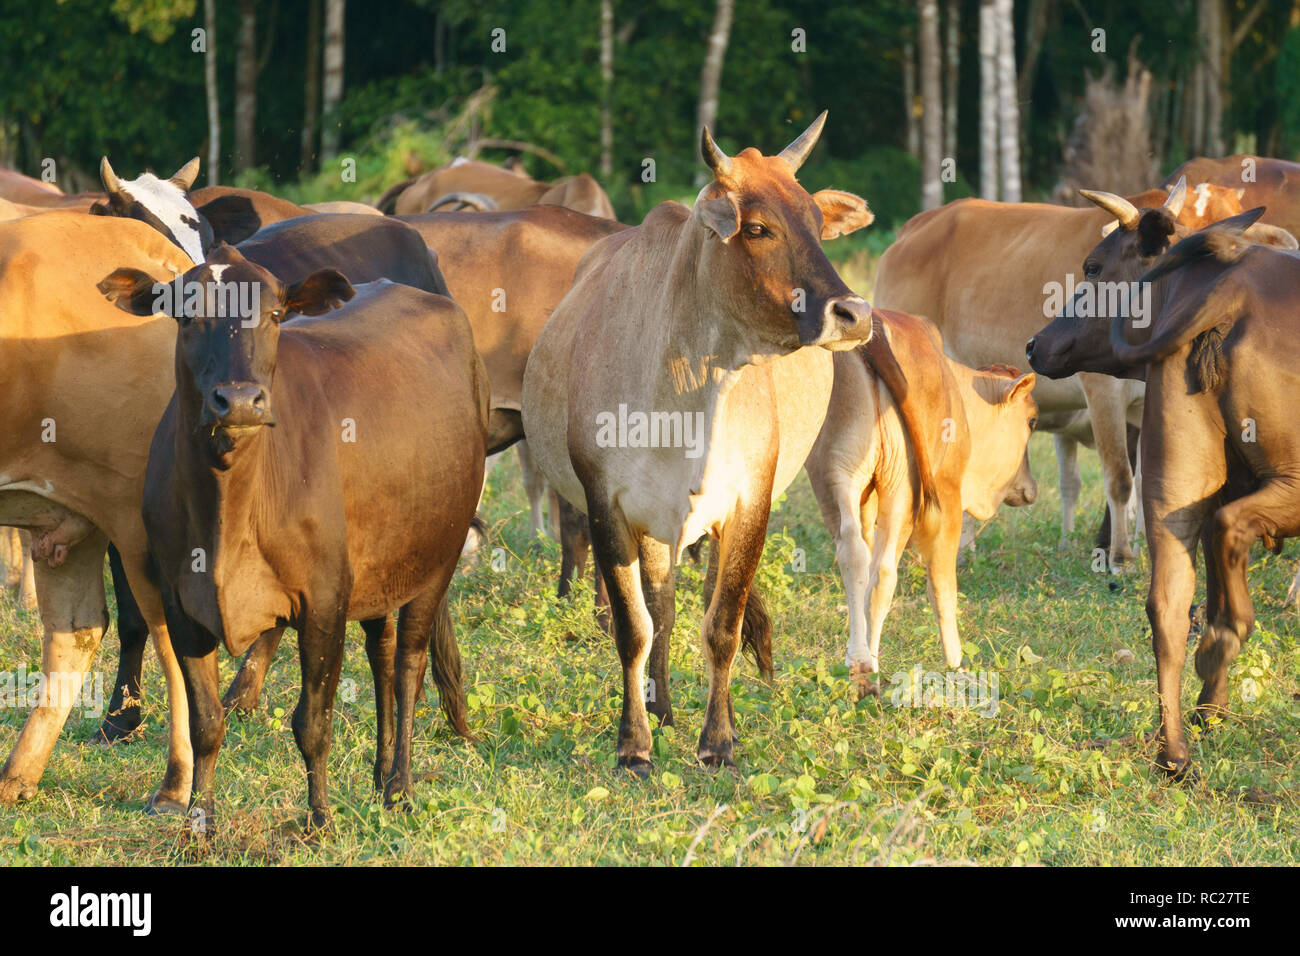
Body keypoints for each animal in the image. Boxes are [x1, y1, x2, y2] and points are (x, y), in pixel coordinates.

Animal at [98, 243, 488, 831]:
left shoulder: (322, 601)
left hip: (437, 559)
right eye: (186, 315)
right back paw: (379, 777)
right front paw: (198, 825)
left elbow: (313, 722)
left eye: (277, 314)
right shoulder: (181, 601)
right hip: (378, 570)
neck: (231, 508)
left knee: (408, 667)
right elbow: (206, 721)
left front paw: (320, 820)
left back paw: (400, 786)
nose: (238, 401)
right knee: (381, 655)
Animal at [521, 112, 874, 773]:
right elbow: (635, 627)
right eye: (757, 227)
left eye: (817, 224)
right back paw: (659, 707)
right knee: (661, 607)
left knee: (706, 601)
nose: (855, 314)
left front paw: (720, 740)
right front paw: (634, 742)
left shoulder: (748, 503)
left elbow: (722, 624)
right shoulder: (608, 505)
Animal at [806, 309, 1038, 698]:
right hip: (902, 488)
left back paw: (859, 661)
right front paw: (956, 662)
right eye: (1032, 421)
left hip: (835, 472)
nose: (1031, 487)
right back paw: (870, 666)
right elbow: (943, 588)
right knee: (884, 575)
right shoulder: (947, 496)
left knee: (854, 554)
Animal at [874, 179, 1251, 573]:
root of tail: (914, 227)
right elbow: (1120, 479)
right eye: (1091, 268)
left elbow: (1149, 481)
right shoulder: (1103, 394)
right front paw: (1121, 557)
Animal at [1025, 190, 1299, 776]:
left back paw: (1178, 746)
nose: (1035, 344)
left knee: (1170, 605)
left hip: (1179, 478)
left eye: (1094, 268)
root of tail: (1230, 290)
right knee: (1224, 540)